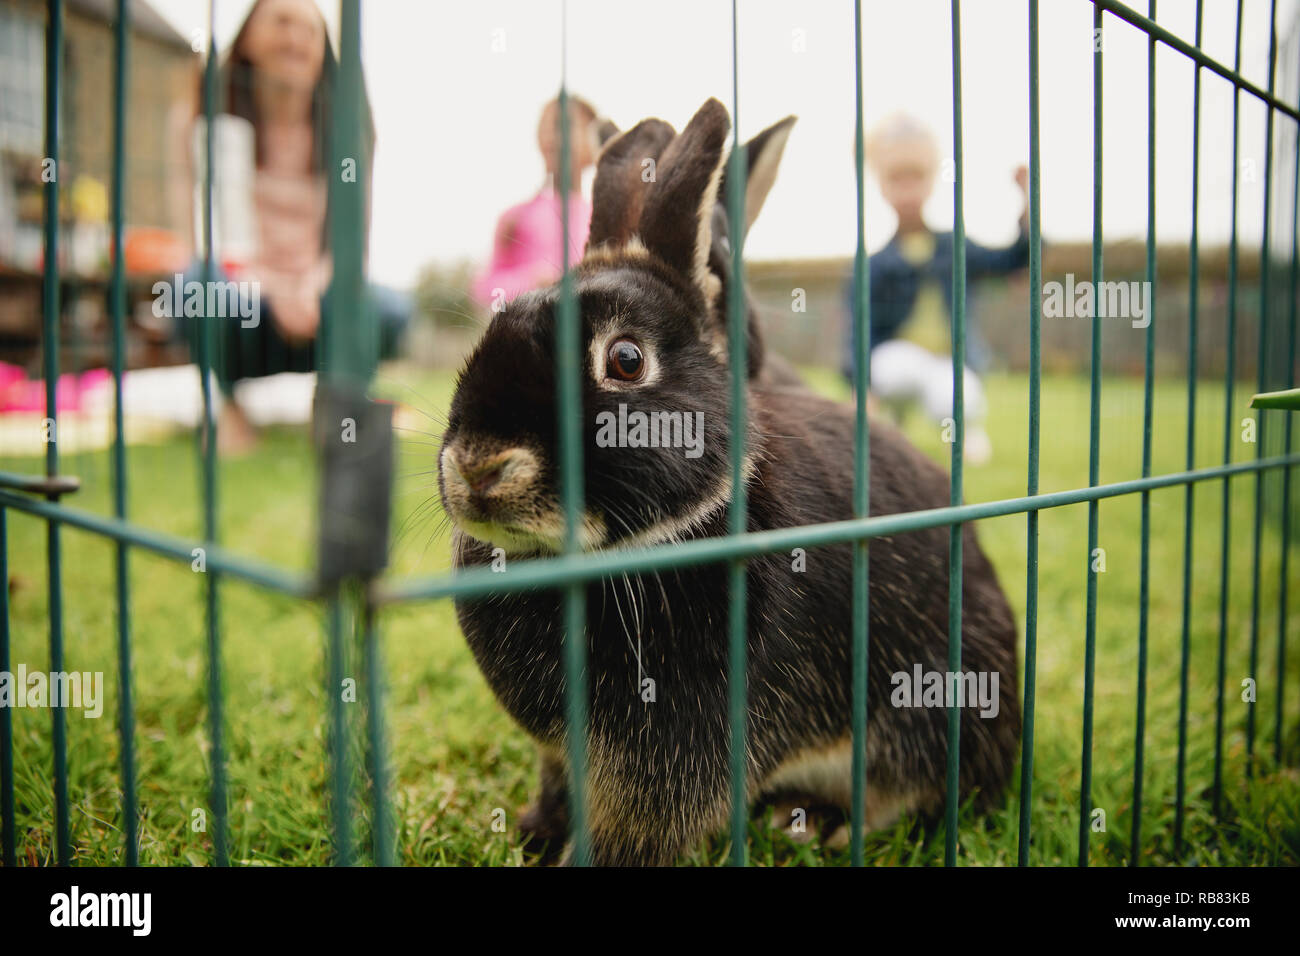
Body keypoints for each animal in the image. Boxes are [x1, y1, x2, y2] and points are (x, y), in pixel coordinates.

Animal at [438, 98, 1021, 866]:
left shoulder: (674, 757)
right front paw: (536, 830)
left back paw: (820, 819)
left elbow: (639, 832)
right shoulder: (566, 754)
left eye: (626, 361)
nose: (477, 461)